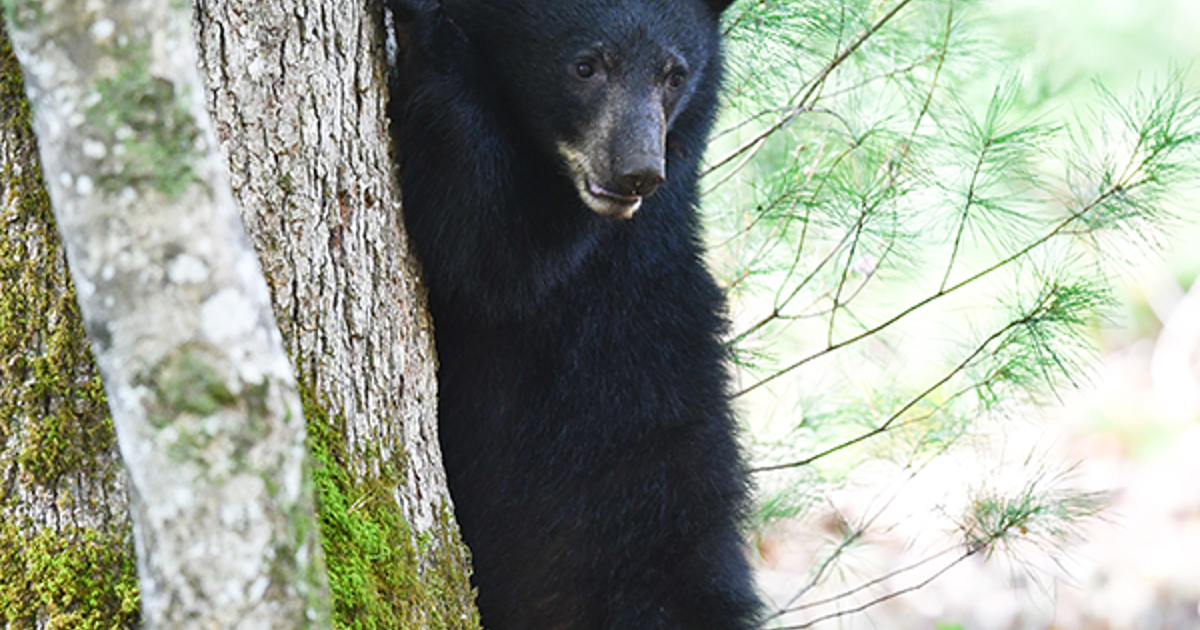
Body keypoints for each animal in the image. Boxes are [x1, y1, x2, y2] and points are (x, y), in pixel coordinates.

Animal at [388, 0, 762, 628]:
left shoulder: (583, 246)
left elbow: (488, 255)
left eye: (674, 75)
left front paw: (427, 27)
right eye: (585, 66)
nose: (637, 172)